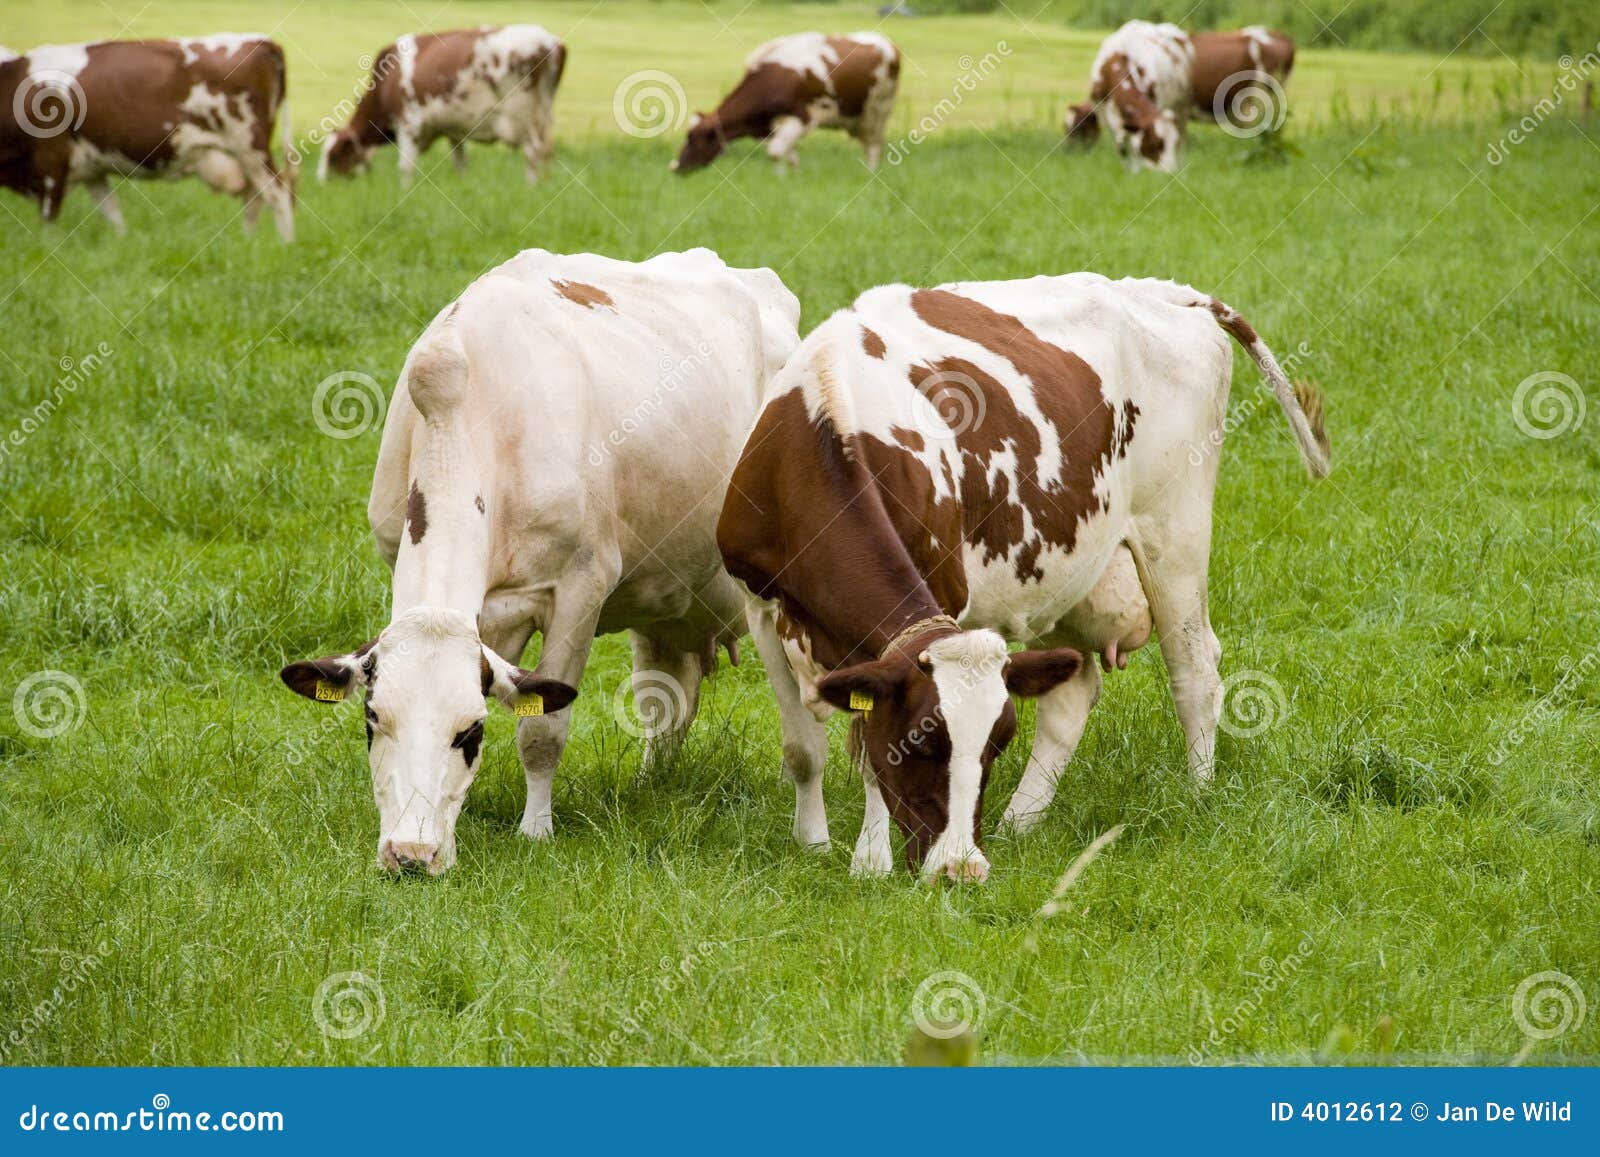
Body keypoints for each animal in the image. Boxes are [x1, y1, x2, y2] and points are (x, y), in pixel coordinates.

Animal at [0, 35, 294, 238]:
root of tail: (261, 41)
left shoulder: (50, 161)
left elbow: (48, 218)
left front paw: (46, 248)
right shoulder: (91, 168)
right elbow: (111, 212)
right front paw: (122, 243)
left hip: (251, 147)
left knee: (278, 194)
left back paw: (285, 246)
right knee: (254, 197)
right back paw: (249, 241)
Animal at [280, 248, 813, 876]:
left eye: (469, 731)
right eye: (373, 720)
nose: (410, 854)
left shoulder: (581, 586)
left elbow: (542, 730)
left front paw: (535, 829)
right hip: (665, 597)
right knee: (666, 698)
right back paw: (652, 784)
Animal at [319, 25, 565, 188]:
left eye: (334, 156)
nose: (321, 183)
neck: (386, 83)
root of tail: (551, 41)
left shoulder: (408, 123)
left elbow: (406, 166)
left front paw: (404, 193)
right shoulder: (454, 129)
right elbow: (460, 163)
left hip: (524, 117)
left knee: (532, 154)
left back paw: (531, 189)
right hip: (544, 114)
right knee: (546, 153)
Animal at [673, 31, 899, 174]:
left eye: (693, 138)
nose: (675, 167)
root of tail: (887, 42)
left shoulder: (803, 118)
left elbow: (775, 153)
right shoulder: (775, 125)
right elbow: (787, 155)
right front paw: (790, 180)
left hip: (878, 111)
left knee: (874, 147)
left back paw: (870, 176)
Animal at [717, 274, 1329, 882]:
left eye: (995, 747)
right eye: (921, 745)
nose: (962, 868)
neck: (828, 420)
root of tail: (1161, 290)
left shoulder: (941, 595)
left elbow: (866, 751)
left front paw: (870, 860)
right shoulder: (762, 609)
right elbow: (805, 750)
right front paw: (816, 846)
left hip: (1175, 533)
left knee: (1194, 670)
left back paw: (1198, 793)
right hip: (1066, 573)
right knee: (1073, 691)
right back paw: (1021, 822)